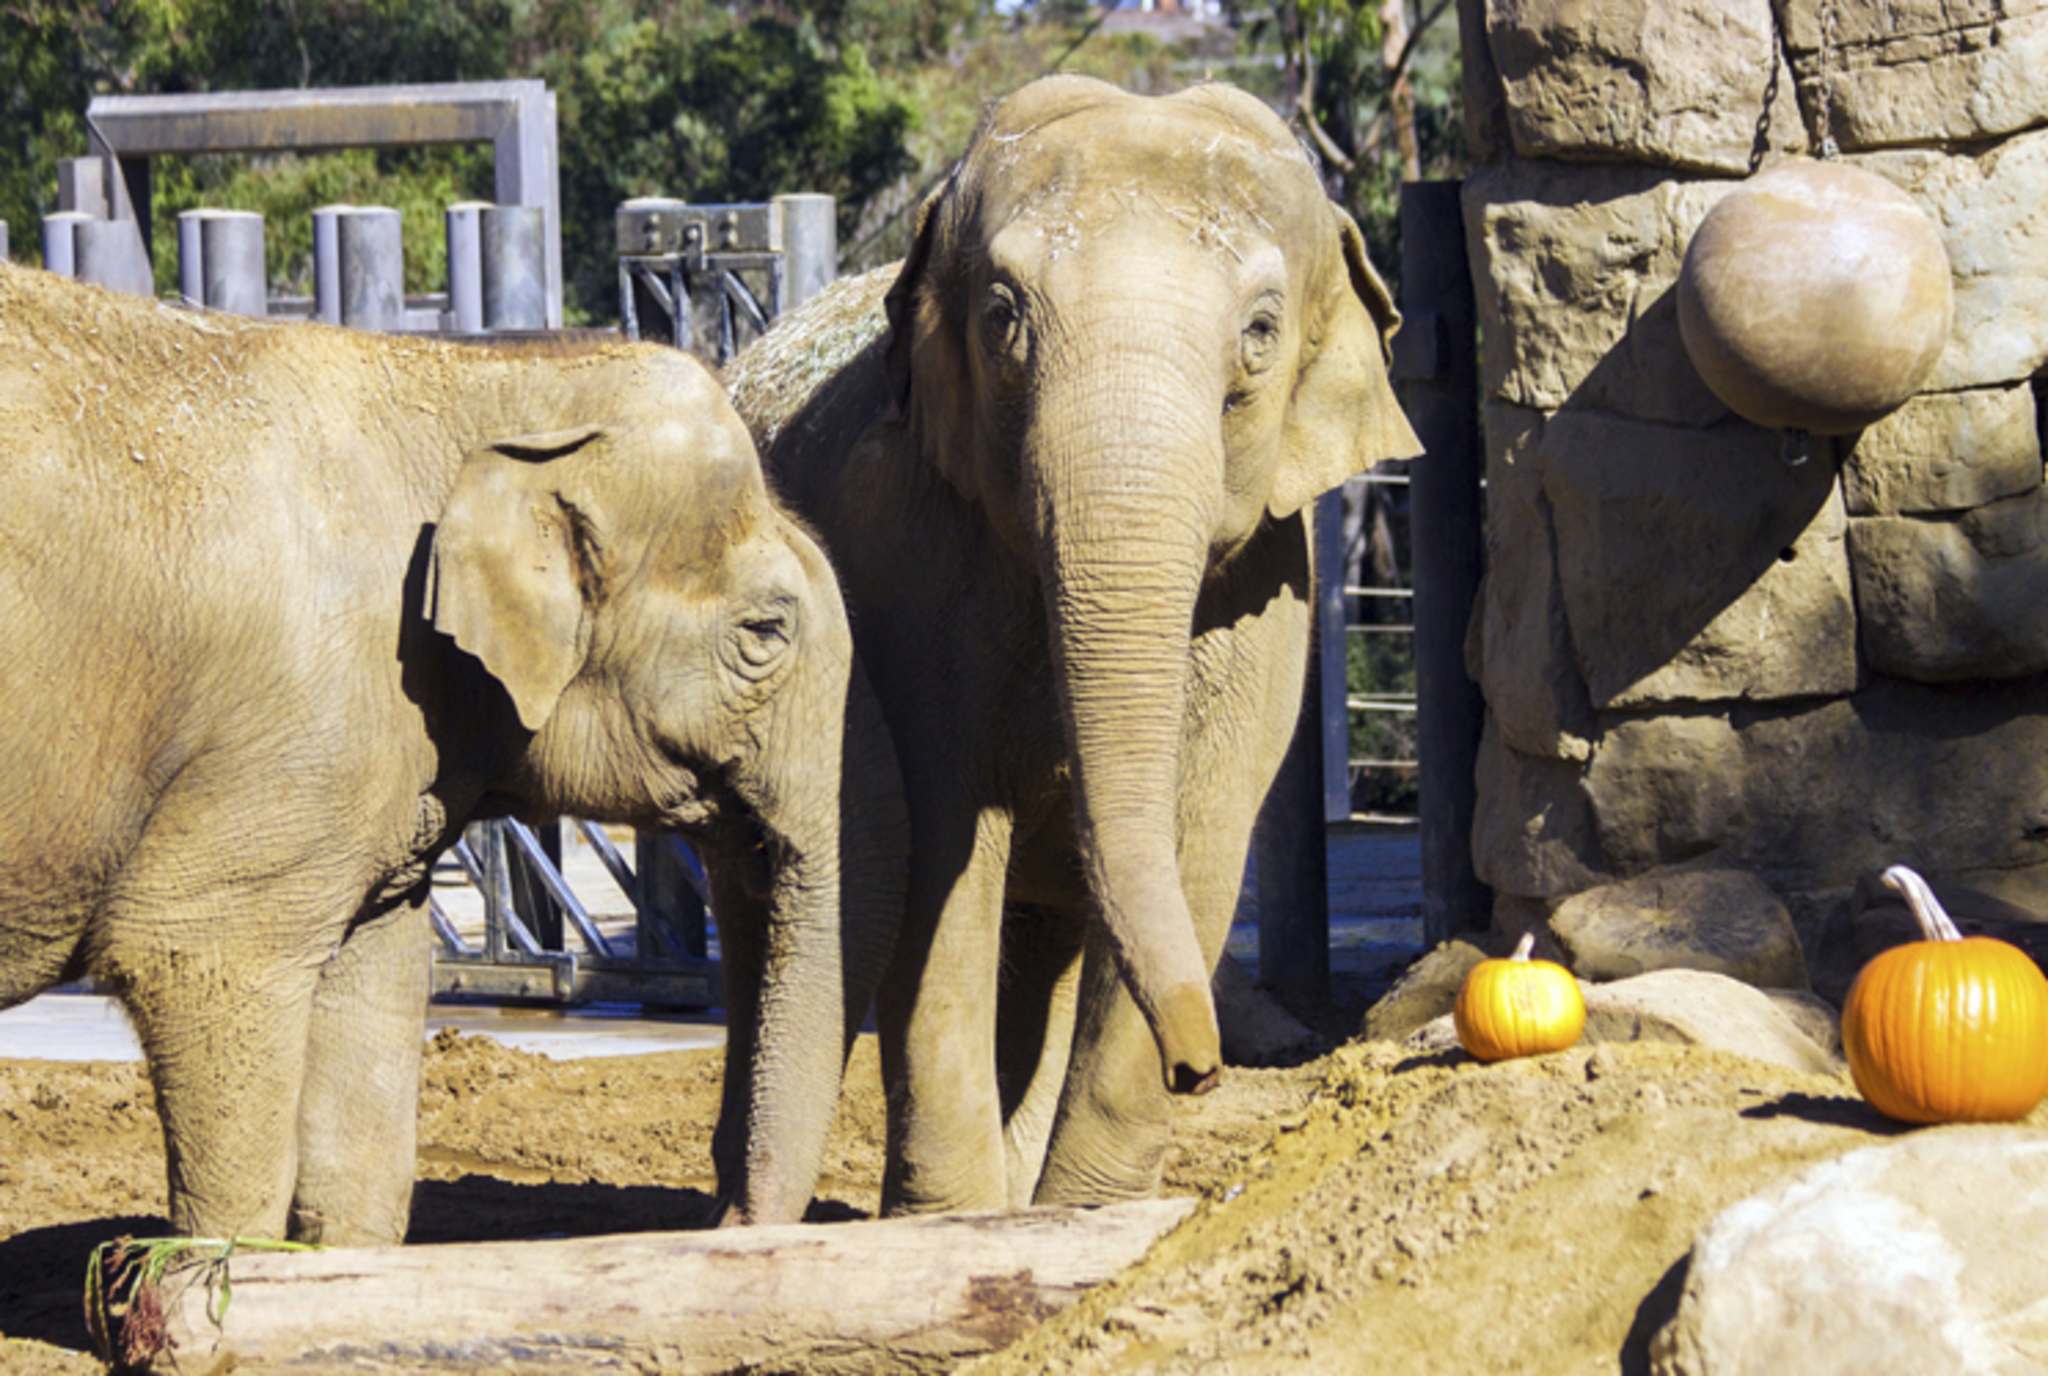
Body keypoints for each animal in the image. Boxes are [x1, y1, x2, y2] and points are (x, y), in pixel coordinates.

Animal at [0, 262, 904, 1243]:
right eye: (766, 632)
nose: (725, 1219)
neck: (475, 385)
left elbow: (375, 1007)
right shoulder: (296, 729)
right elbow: (188, 950)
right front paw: (213, 1272)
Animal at [723, 75, 1419, 1214]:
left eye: (1261, 332)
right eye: (1002, 317)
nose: (1205, 1067)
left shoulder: (1269, 596)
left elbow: (1197, 846)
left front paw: (1090, 1214)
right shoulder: (909, 566)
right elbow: (943, 851)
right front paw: (952, 1224)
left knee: (1045, 943)